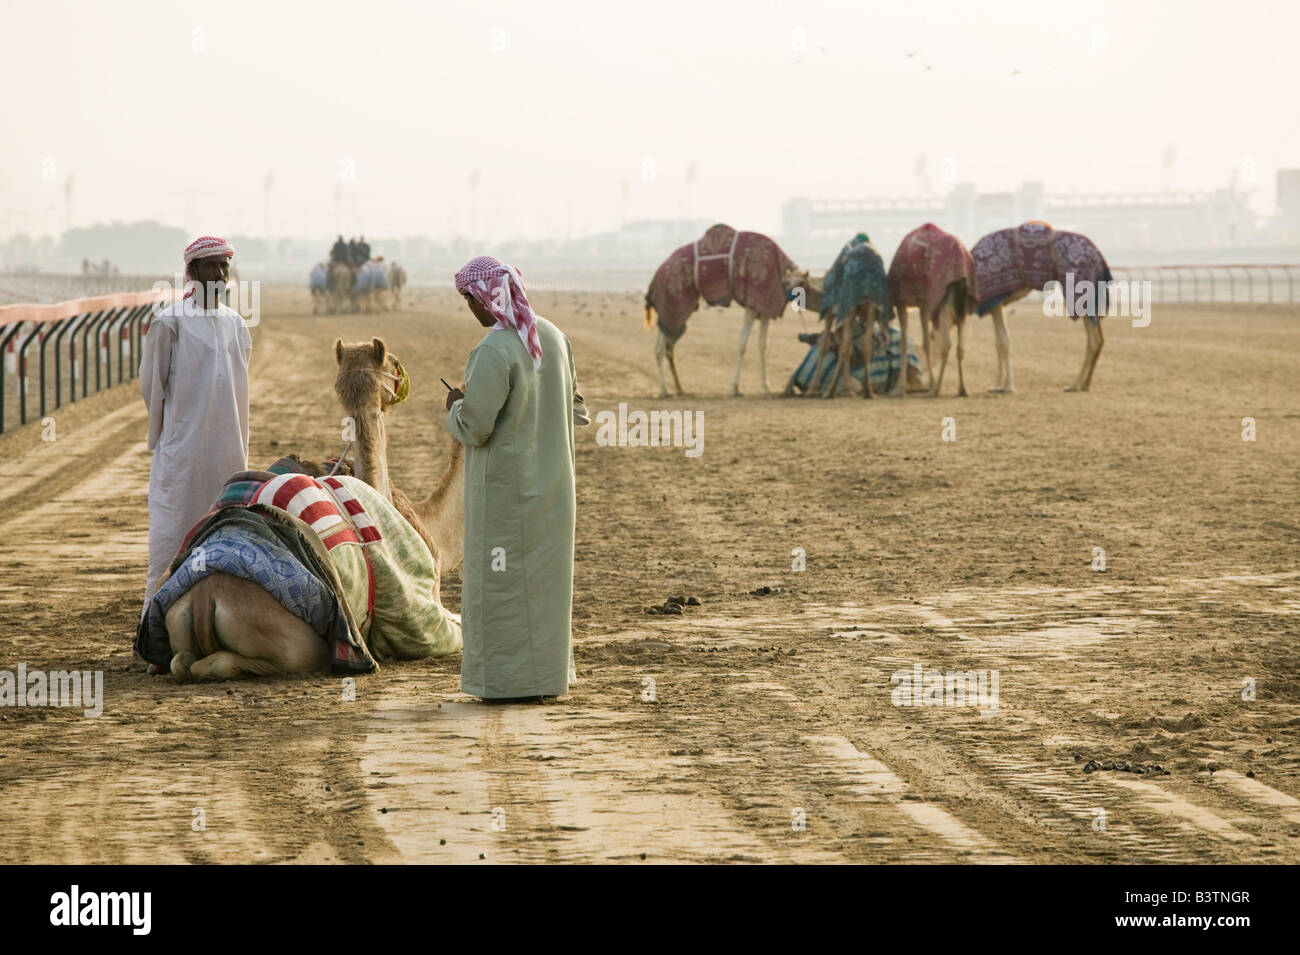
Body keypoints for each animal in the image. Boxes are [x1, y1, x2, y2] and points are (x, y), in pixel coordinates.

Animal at [645, 224, 815, 397]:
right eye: (801, 283)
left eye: (805, 283)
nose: (804, 301)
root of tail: (654, 278)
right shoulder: (752, 303)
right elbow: (742, 344)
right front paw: (735, 388)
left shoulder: (764, 309)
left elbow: (762, 344)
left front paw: (767, 388)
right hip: (674, 299)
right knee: (662, 346)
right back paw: (665, 390)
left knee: (665, 345)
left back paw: (677, 389)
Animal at [888, 223, 980, 398]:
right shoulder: (924, 303)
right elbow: (926, 343)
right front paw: (929, 383)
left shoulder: (901, 301)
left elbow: (903, 343)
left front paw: (898, 388)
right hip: (962, 307)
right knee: (960, 347)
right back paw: (963, 389)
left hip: (944, 303)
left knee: (946, 344)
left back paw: (936, 389)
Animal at [971, 222, 1112, 393]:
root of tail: (1100, 258)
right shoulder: (997, 304)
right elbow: (999, 342)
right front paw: (998, 385)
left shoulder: (994, 300)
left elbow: (1004, 342)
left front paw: (1008, 387)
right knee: (1099, 338)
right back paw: (1085, 384)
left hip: (1079, 294)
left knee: (1093, 340)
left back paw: (1075, 385)